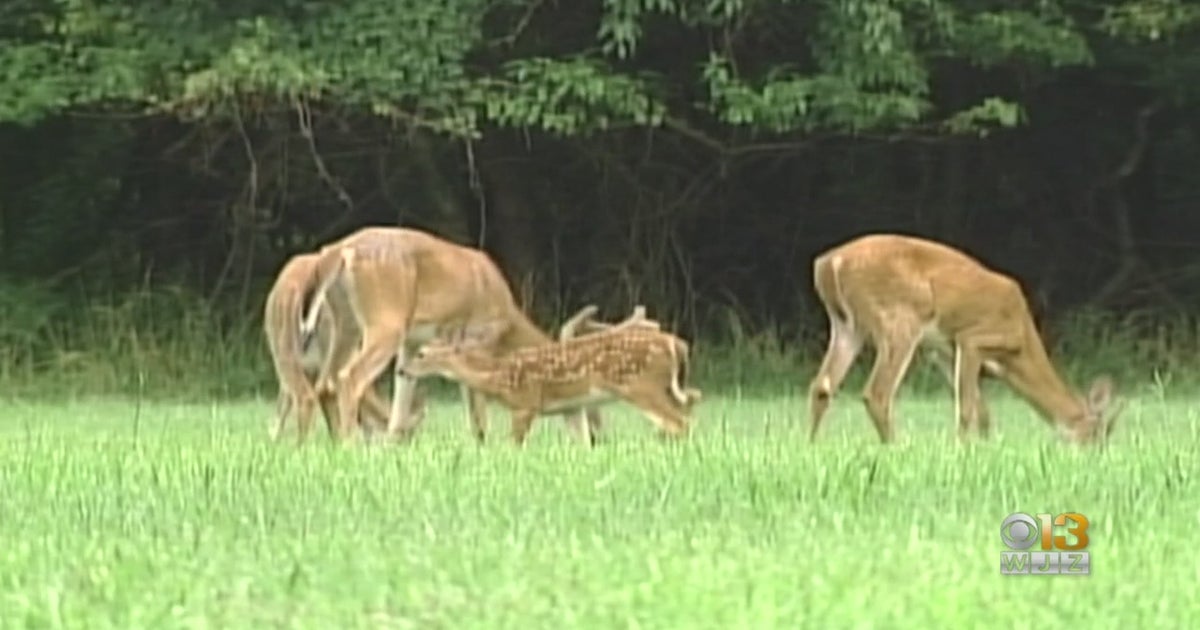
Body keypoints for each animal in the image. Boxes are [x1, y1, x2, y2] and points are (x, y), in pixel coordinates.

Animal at [298, 226, 604, 445]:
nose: (594, 438)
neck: (507, 319)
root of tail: (340, 251)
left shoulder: (413, 345)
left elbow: (402, 401)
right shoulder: (476, 340)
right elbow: (478, 414)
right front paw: (482, 449)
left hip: (346, 323)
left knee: (325, 383)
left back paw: (336, 443)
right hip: (386, 321)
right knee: (349, 378)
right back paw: (351, 445)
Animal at [397, 308, 703, 445]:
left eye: (422, 353)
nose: (402, 370)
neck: (497, 376)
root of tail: (674, 344)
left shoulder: (525, 403)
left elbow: (514, 444)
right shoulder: (571, 407)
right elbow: (583, 443)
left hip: (643, 386)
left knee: (679, 422)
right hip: (666, 387)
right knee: (687, 408)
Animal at [806, 233, 1122, 445]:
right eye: (1097, 434)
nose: (1095, 453)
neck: (1020, 344)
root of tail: (831, 262)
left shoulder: (943, 351)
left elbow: (982, 411)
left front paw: (983, 447)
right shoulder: (972, 339)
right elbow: (968, 408)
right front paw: (962, 448)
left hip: (847, 326)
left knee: (822, 386)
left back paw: (812, 444)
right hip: (899, 319)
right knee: (877, 392)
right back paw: (893, 446)